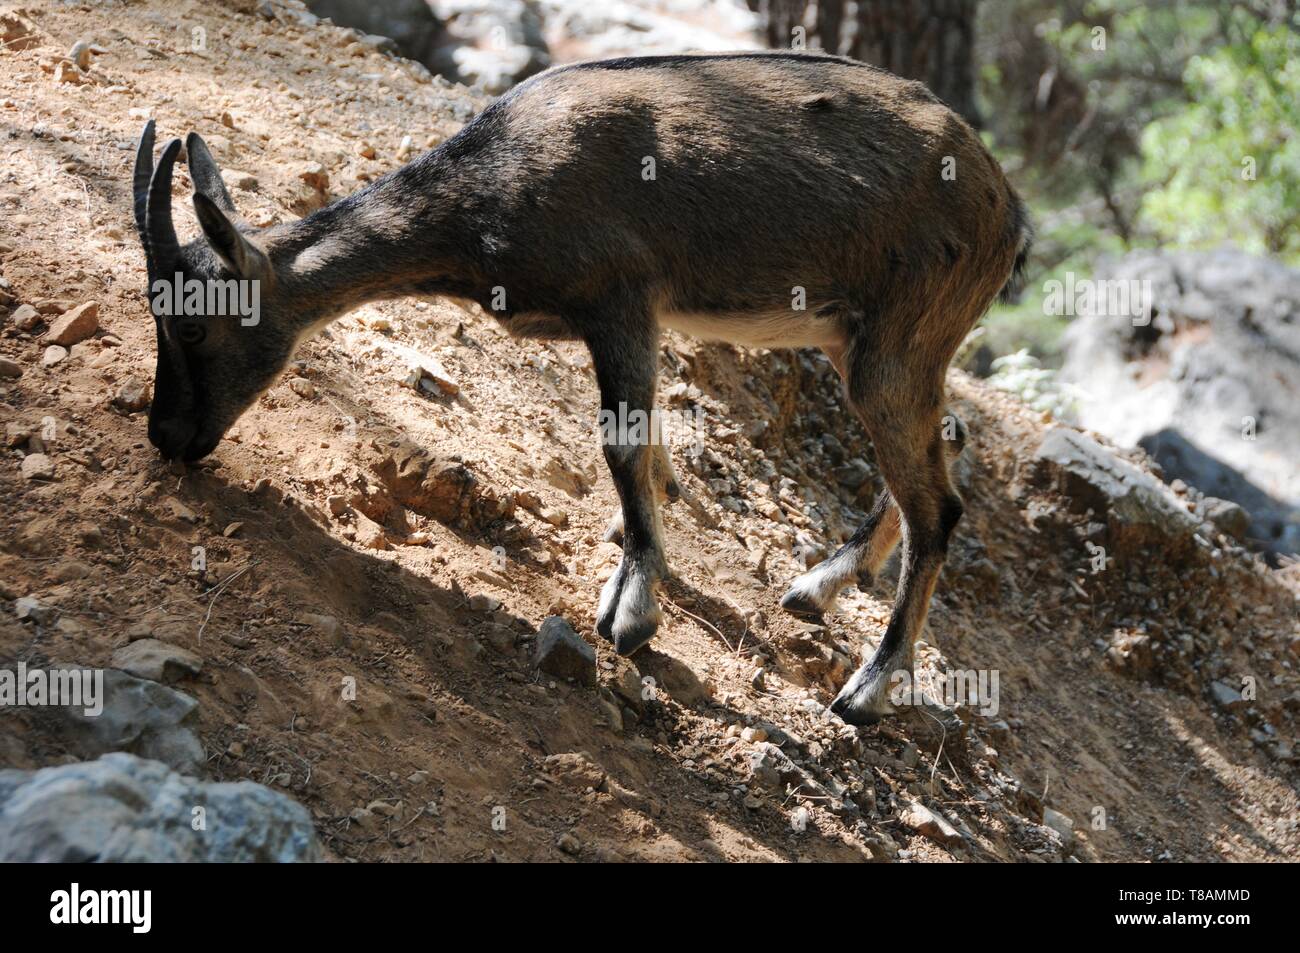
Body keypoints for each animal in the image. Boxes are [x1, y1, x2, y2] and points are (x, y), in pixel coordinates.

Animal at [132, 51, 1031, 725]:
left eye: (190, 326)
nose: (166, 436)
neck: (495, 184)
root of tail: (1008, 212)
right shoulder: (634, 320)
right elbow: (649, 435)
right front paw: (645, 537)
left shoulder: (620, 294)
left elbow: (622, 441)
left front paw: (631, 611)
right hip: (871, 342)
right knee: (944, 444)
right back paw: (816, 587)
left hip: (899, 335)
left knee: (939, 506)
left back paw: (866, 691)